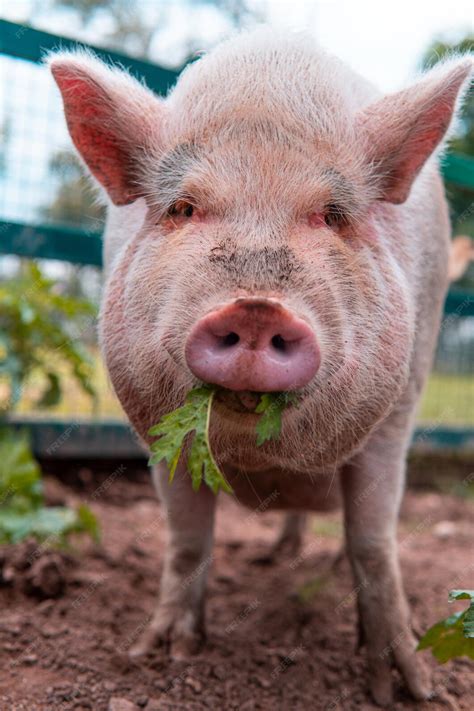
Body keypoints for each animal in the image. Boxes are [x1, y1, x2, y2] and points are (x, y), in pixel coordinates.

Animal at [49, 29, 472, 705]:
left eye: (332, 215)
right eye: (184, 207)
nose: (254, 306)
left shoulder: (398, 411)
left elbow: (372, 539)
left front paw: (406, 689)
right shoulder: (155, 429)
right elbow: (186, 536)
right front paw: (160, 654)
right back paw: (275, 558)